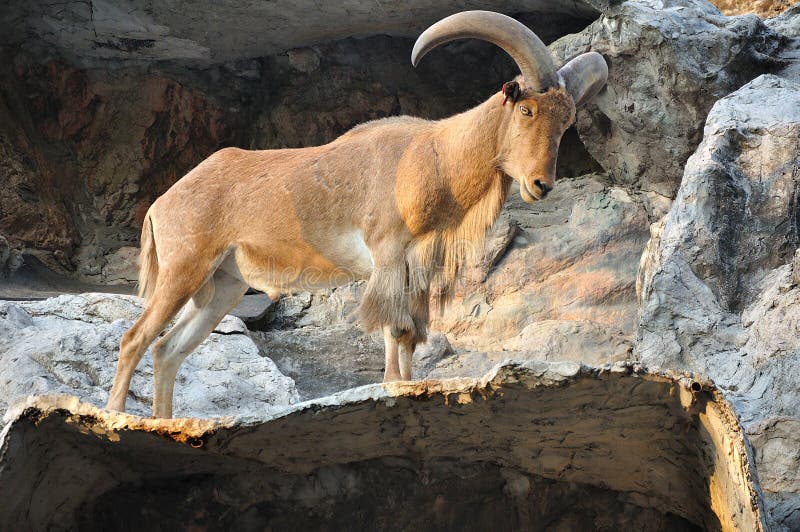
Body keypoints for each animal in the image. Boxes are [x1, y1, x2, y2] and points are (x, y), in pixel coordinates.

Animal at [107, 11, 608, 418]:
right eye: (527, 109)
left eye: (566, 122)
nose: (542, 185)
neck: (431, 158)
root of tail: (163, 203)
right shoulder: (387, 256)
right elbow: (395, 326)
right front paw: (391, 385)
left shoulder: (416, 270)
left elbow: (410, 333)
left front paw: (408, 384)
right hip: (184, 269)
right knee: (135, 339)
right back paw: (118, 416)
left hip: (223, 286)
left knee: (168, 350)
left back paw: (164, 422)